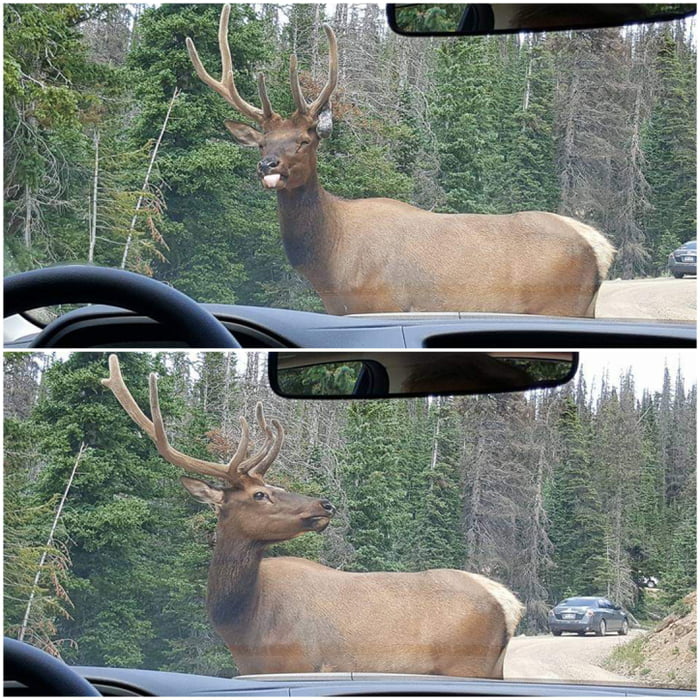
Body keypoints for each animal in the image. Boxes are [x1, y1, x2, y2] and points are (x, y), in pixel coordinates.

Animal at [102, 354, 523, 678]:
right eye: (260, 493)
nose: (325, 504)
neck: (242, 625)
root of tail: (508, 603)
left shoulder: (297, 663)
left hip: (466, 665)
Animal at [185, 6, 614, 318]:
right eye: (262, 143)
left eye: (304, 140)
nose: (268, 165)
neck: (330, 265)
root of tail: (599, 246)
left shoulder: (381, 304)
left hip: (561, 306)